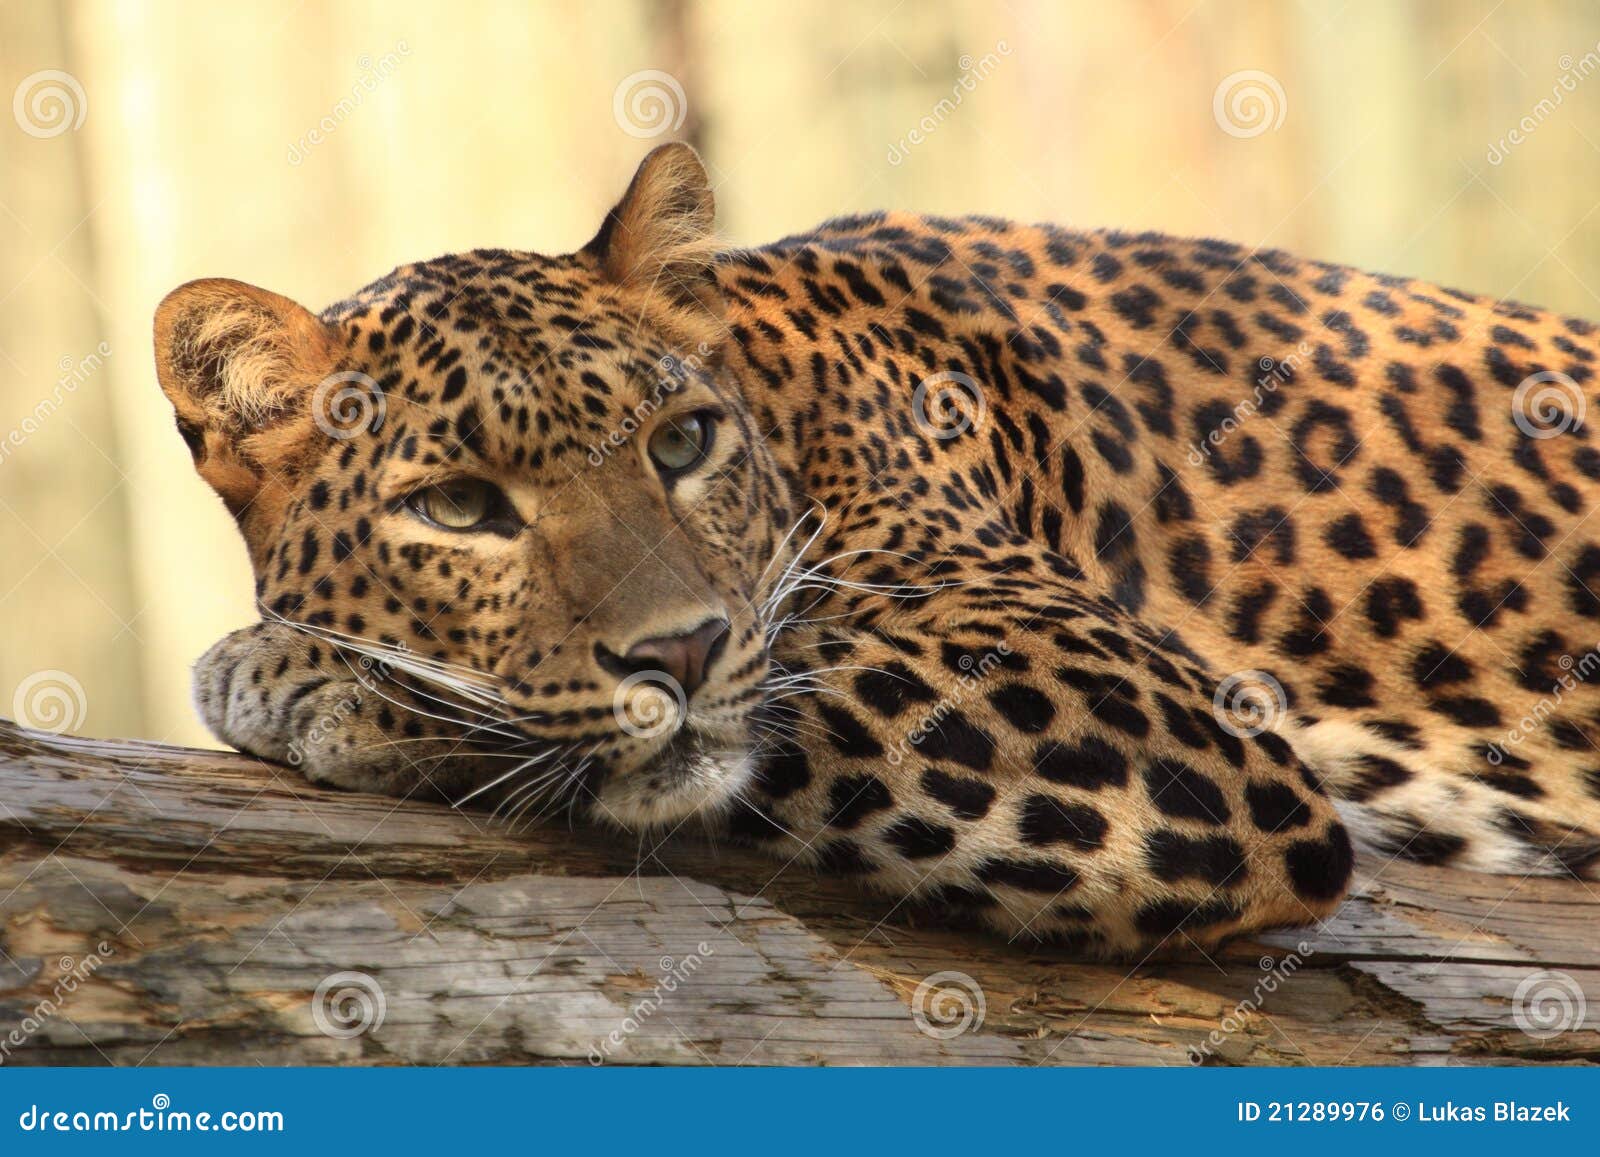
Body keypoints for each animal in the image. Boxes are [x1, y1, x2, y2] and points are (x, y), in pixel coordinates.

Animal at [152, 143, 1600, 956]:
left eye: (681, 442)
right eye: (459, 508)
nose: (682, 649)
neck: (790, 405)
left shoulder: (1164, 730)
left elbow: (775, 689)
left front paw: (294, 671)